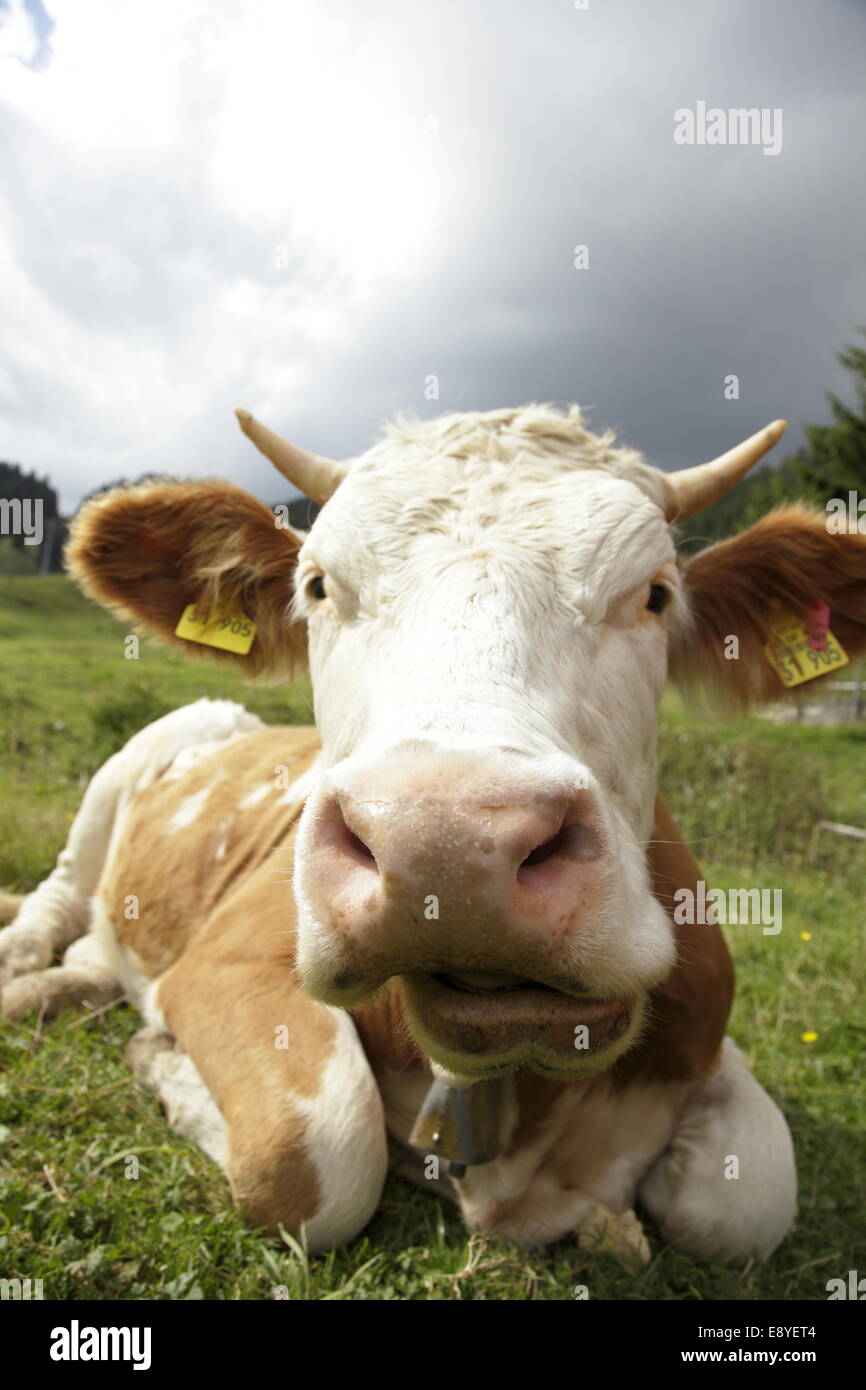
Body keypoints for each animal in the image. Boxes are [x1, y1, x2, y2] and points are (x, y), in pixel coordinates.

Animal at [2, 403, 865, 1265]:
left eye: (655, 595)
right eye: (318, 587)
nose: (447, 853)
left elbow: (745, 1201)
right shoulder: (227, 964)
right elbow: (319, 1160)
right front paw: (161, 1060)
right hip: (139, 758)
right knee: (58, 899)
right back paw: (22, 970)